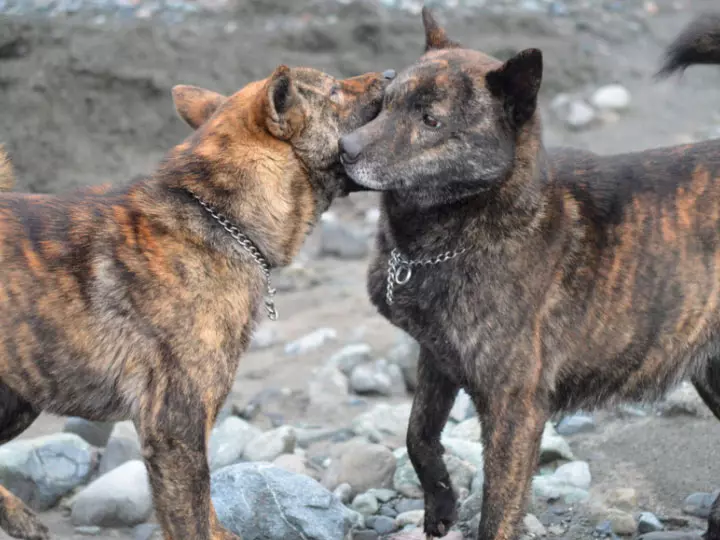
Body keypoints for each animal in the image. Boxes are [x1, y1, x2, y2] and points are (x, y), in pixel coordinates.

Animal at [0, 64, 394, 540]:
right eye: (334, 90)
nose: (391, 73)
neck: (219, 218)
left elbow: (208, 509)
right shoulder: (174, 428)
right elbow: (192, 517)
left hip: (18, 398)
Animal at [340, 10, 720, 540]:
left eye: (431, 121)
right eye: (384, 103)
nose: (343, 149)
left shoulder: (514, 408)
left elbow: (498, 512)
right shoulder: (437, 358)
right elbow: (418, 435)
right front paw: (441, 504)